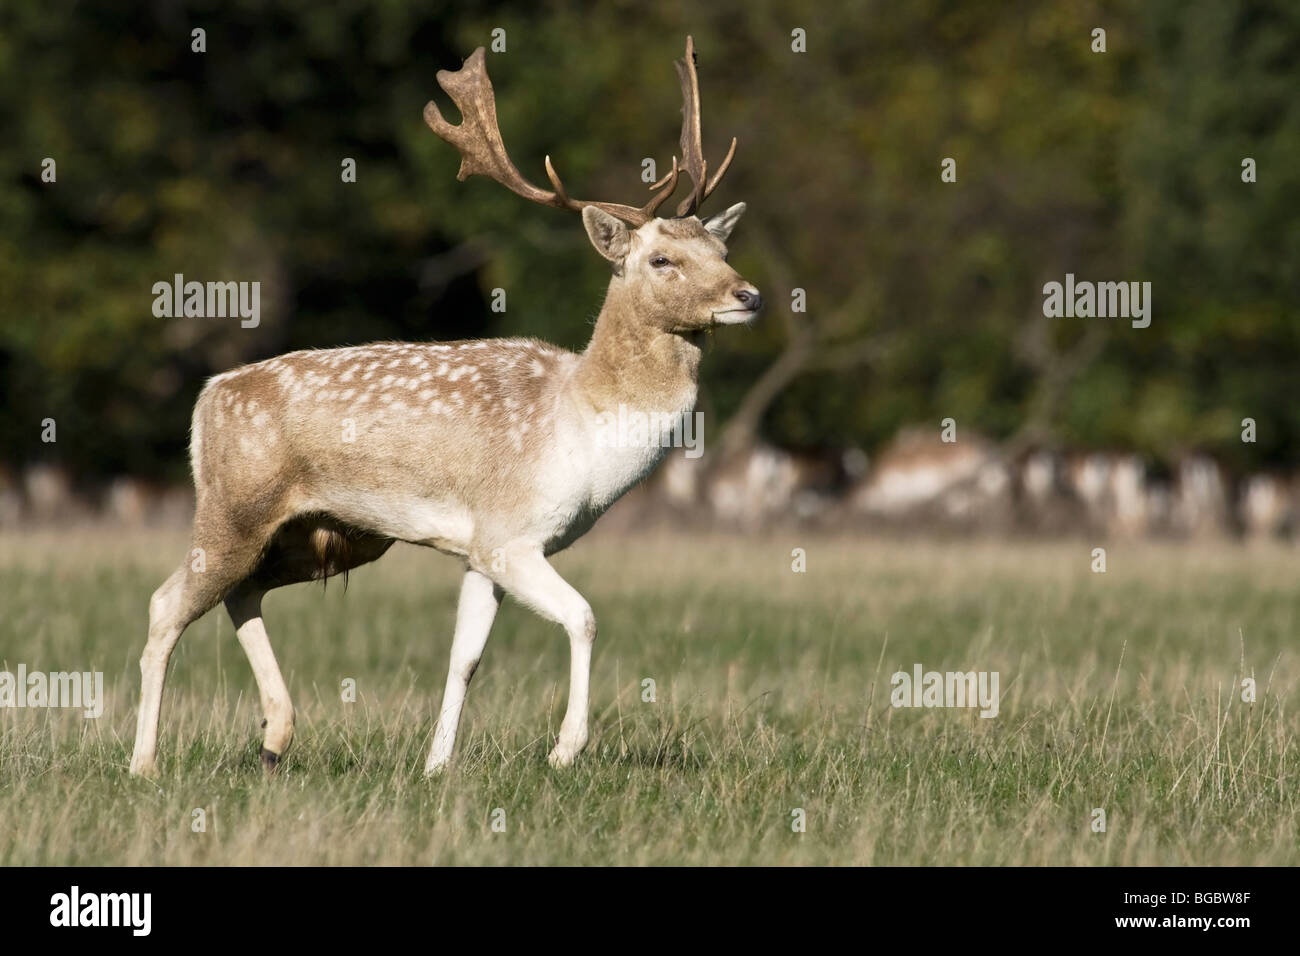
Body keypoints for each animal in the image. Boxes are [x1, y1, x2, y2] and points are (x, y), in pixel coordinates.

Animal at [128, 37, 761, 777]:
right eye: (662, 259)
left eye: (722, 247)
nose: (748, 295)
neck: (580, 420)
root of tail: (207, 398)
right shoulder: (508, 534)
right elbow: (583, 617)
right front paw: (565, 749)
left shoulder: (479, 552)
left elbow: (464, 658)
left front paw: (435, 767)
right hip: (233, 506)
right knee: (166, 604)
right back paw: (143, 764)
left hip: (329, 534)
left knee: (240, 592)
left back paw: (275, 738)